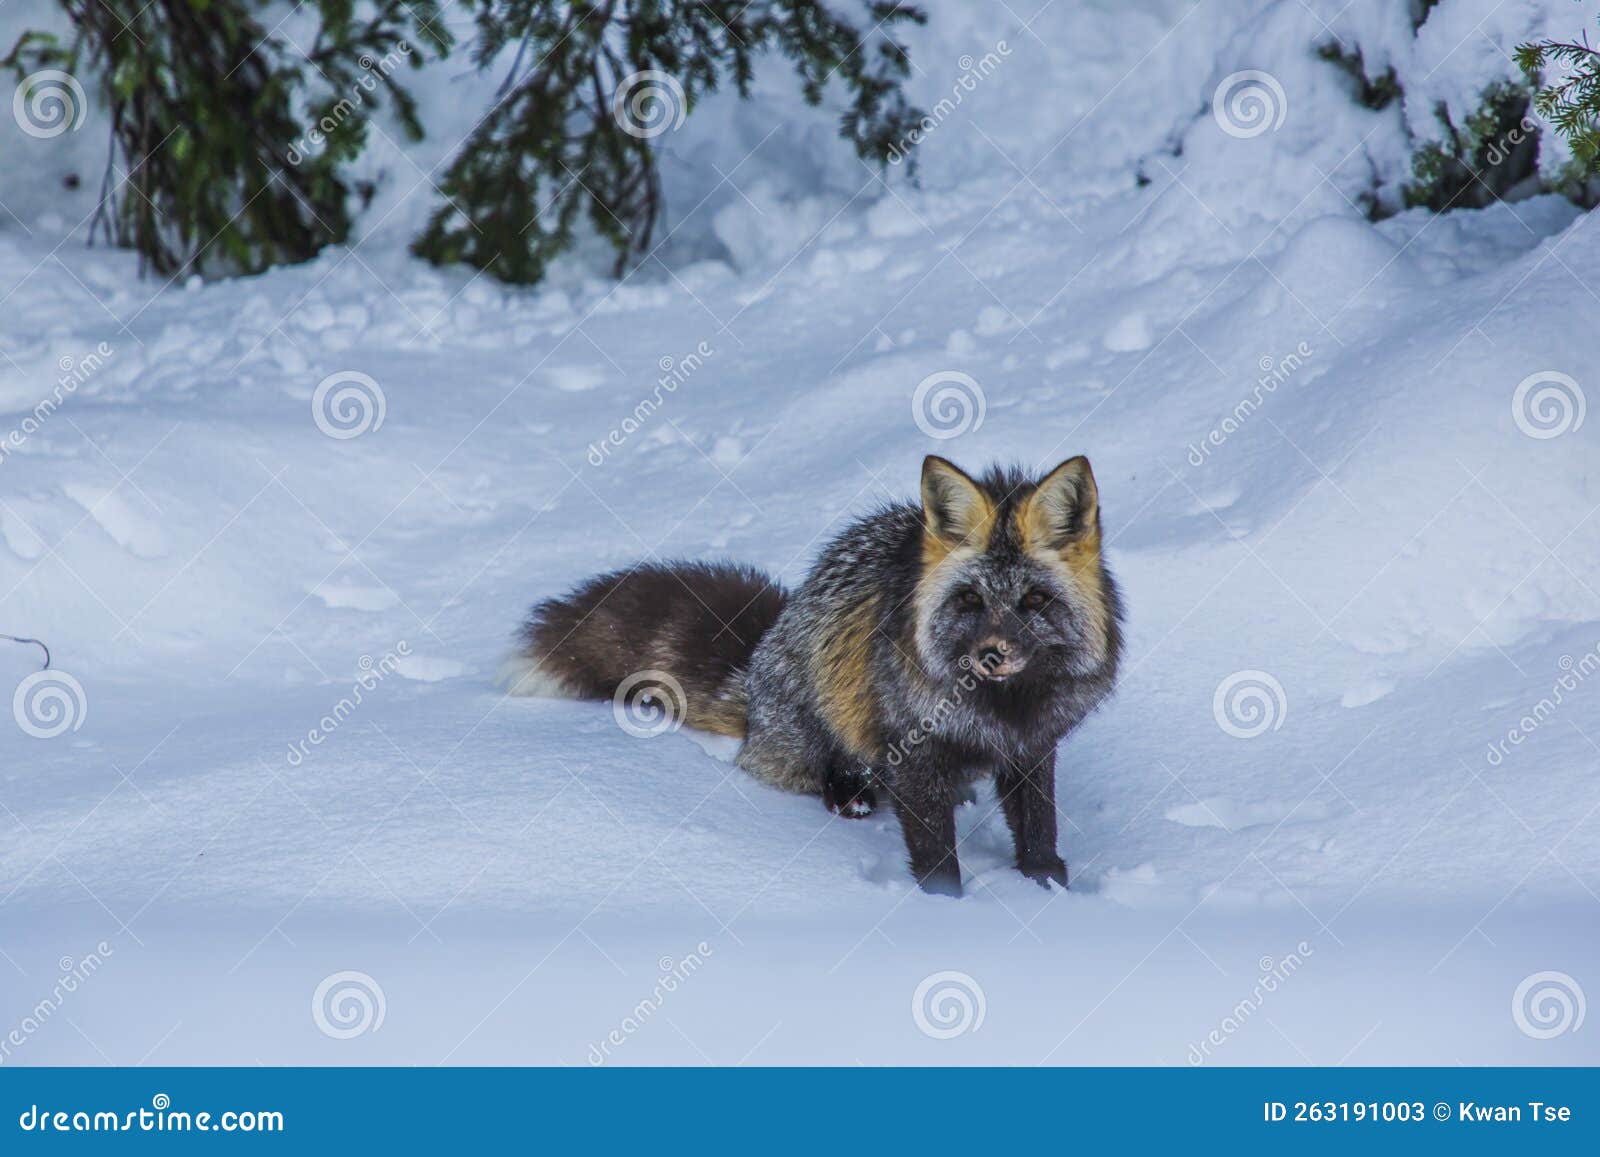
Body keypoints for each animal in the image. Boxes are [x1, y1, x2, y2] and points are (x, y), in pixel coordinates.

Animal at [503, 455, 1123, 897]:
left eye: (1034, 600)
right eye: (970, 599)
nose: (993, 654)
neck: (999, 708)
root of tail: (758, 664)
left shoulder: (1032, 747)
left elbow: (1039, 830)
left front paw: (1047, 889)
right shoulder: (909, 748)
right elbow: (933, 852)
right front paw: (945, 908)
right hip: (818, 728)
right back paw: (847, 797)